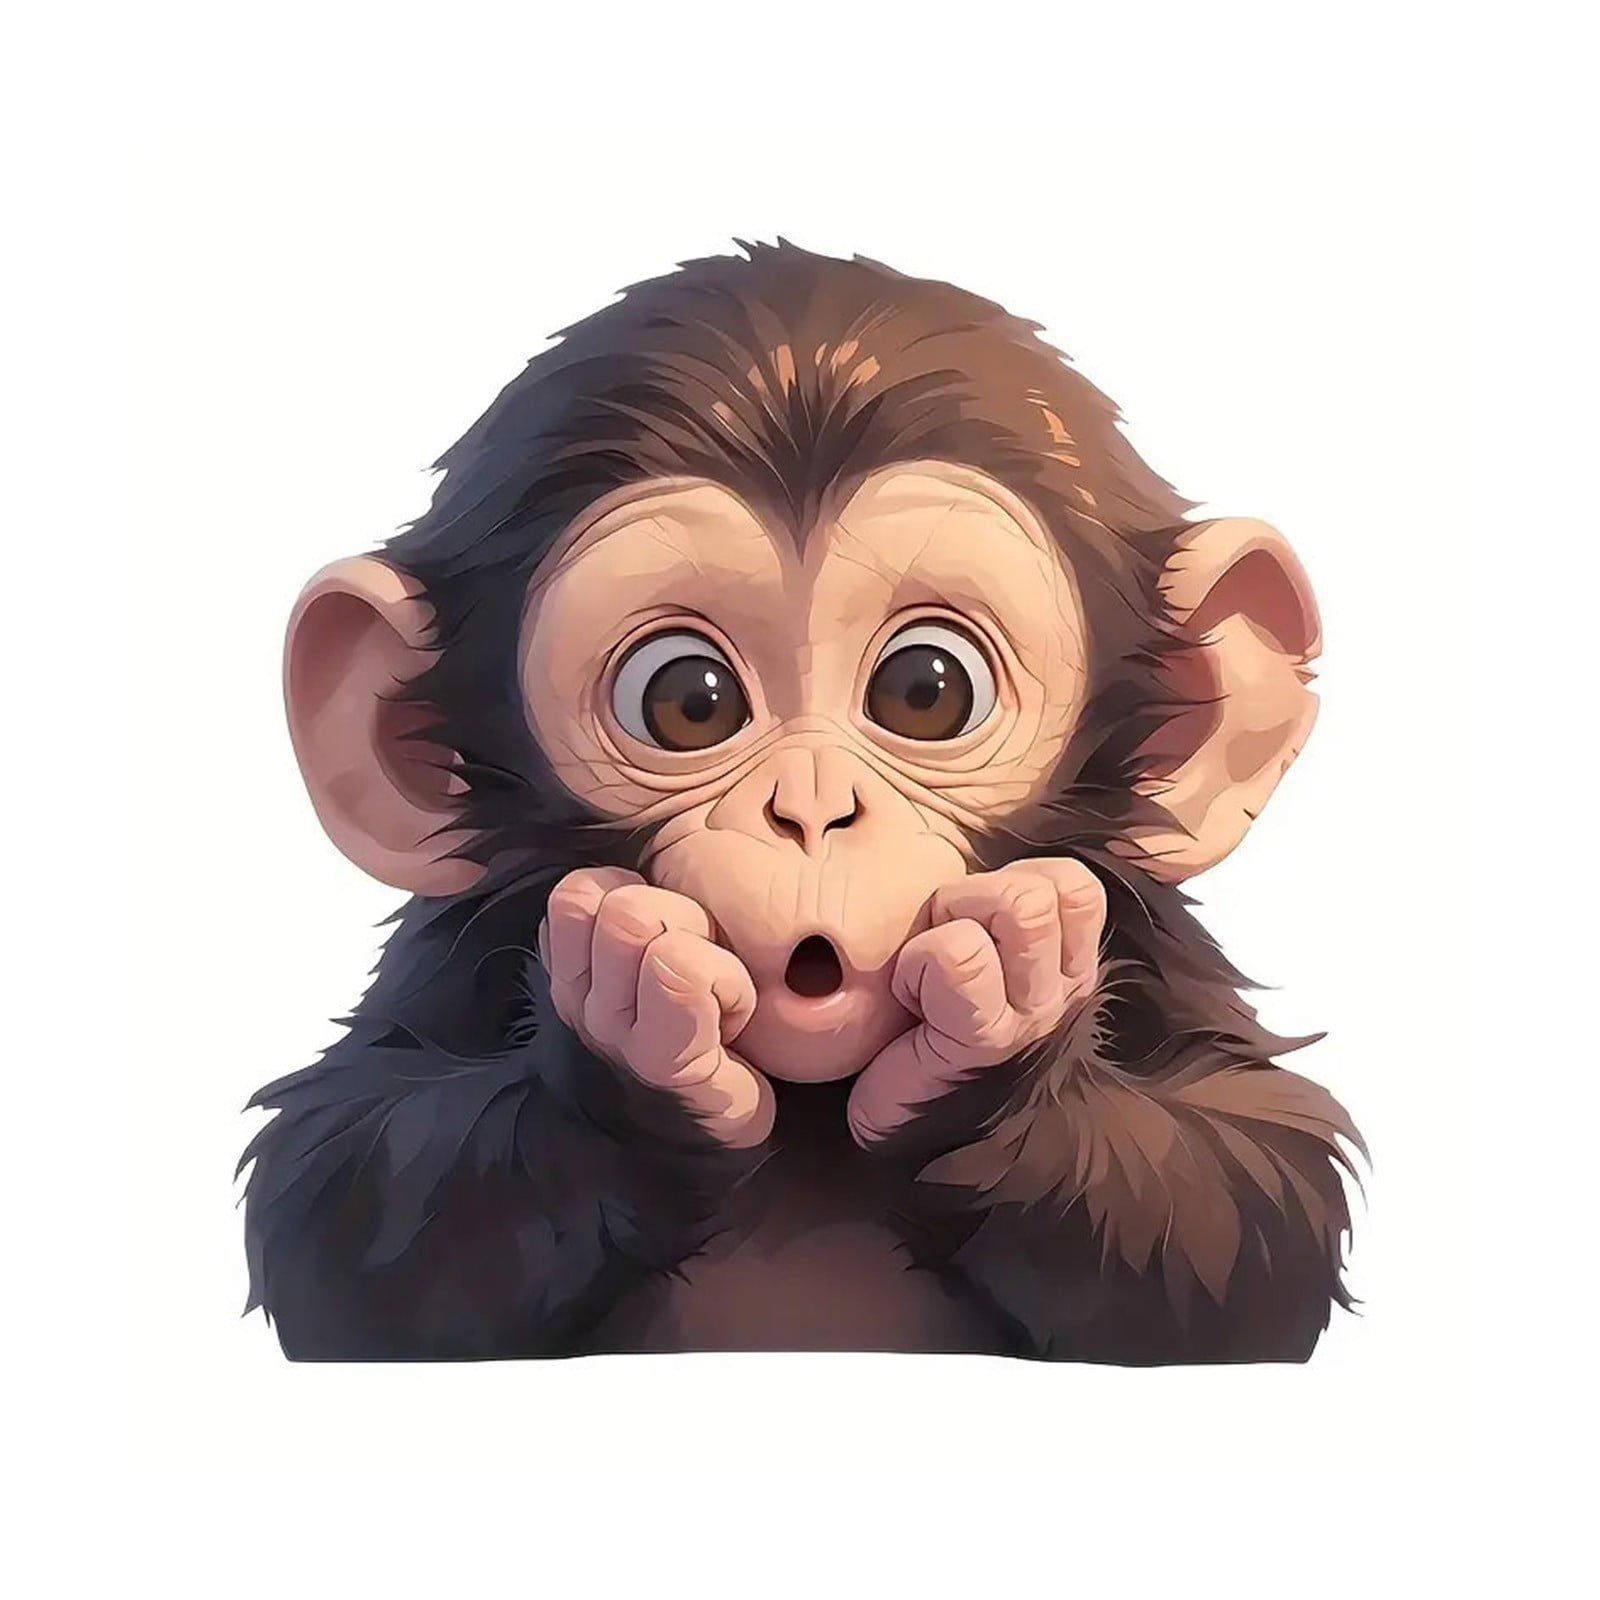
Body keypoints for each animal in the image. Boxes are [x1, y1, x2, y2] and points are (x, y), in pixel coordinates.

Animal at [240, 240, 1364, 1364]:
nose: (813, 811)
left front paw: (996, 1029)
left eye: (926, 691)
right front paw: (633, 1037)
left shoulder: (1151, 938)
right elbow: (337, 1198)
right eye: (688, 701)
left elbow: (1252, 1194)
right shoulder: (453, 948)